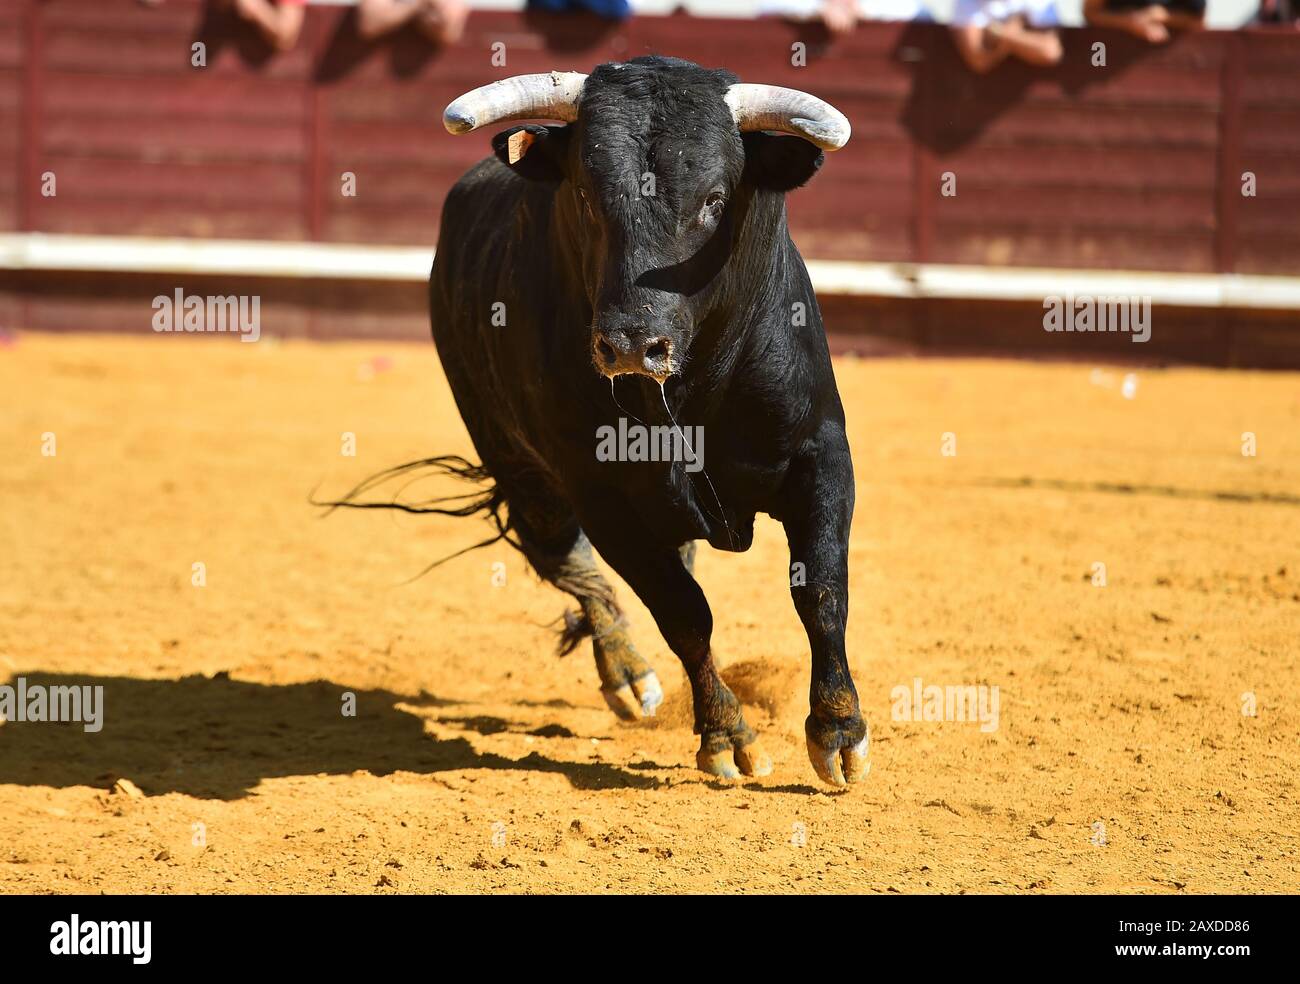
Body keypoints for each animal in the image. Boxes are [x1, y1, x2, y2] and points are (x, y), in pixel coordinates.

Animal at [349, 56, 867, 787]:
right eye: (589, 198)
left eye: (714, 200)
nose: (630, 344)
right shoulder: (602, 495)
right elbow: (683, 613)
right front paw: (727, 736)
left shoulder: (819, 454)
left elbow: (821, 589)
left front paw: (839, 733)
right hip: (522, 471)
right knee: (572, 566)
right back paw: (628, 675)